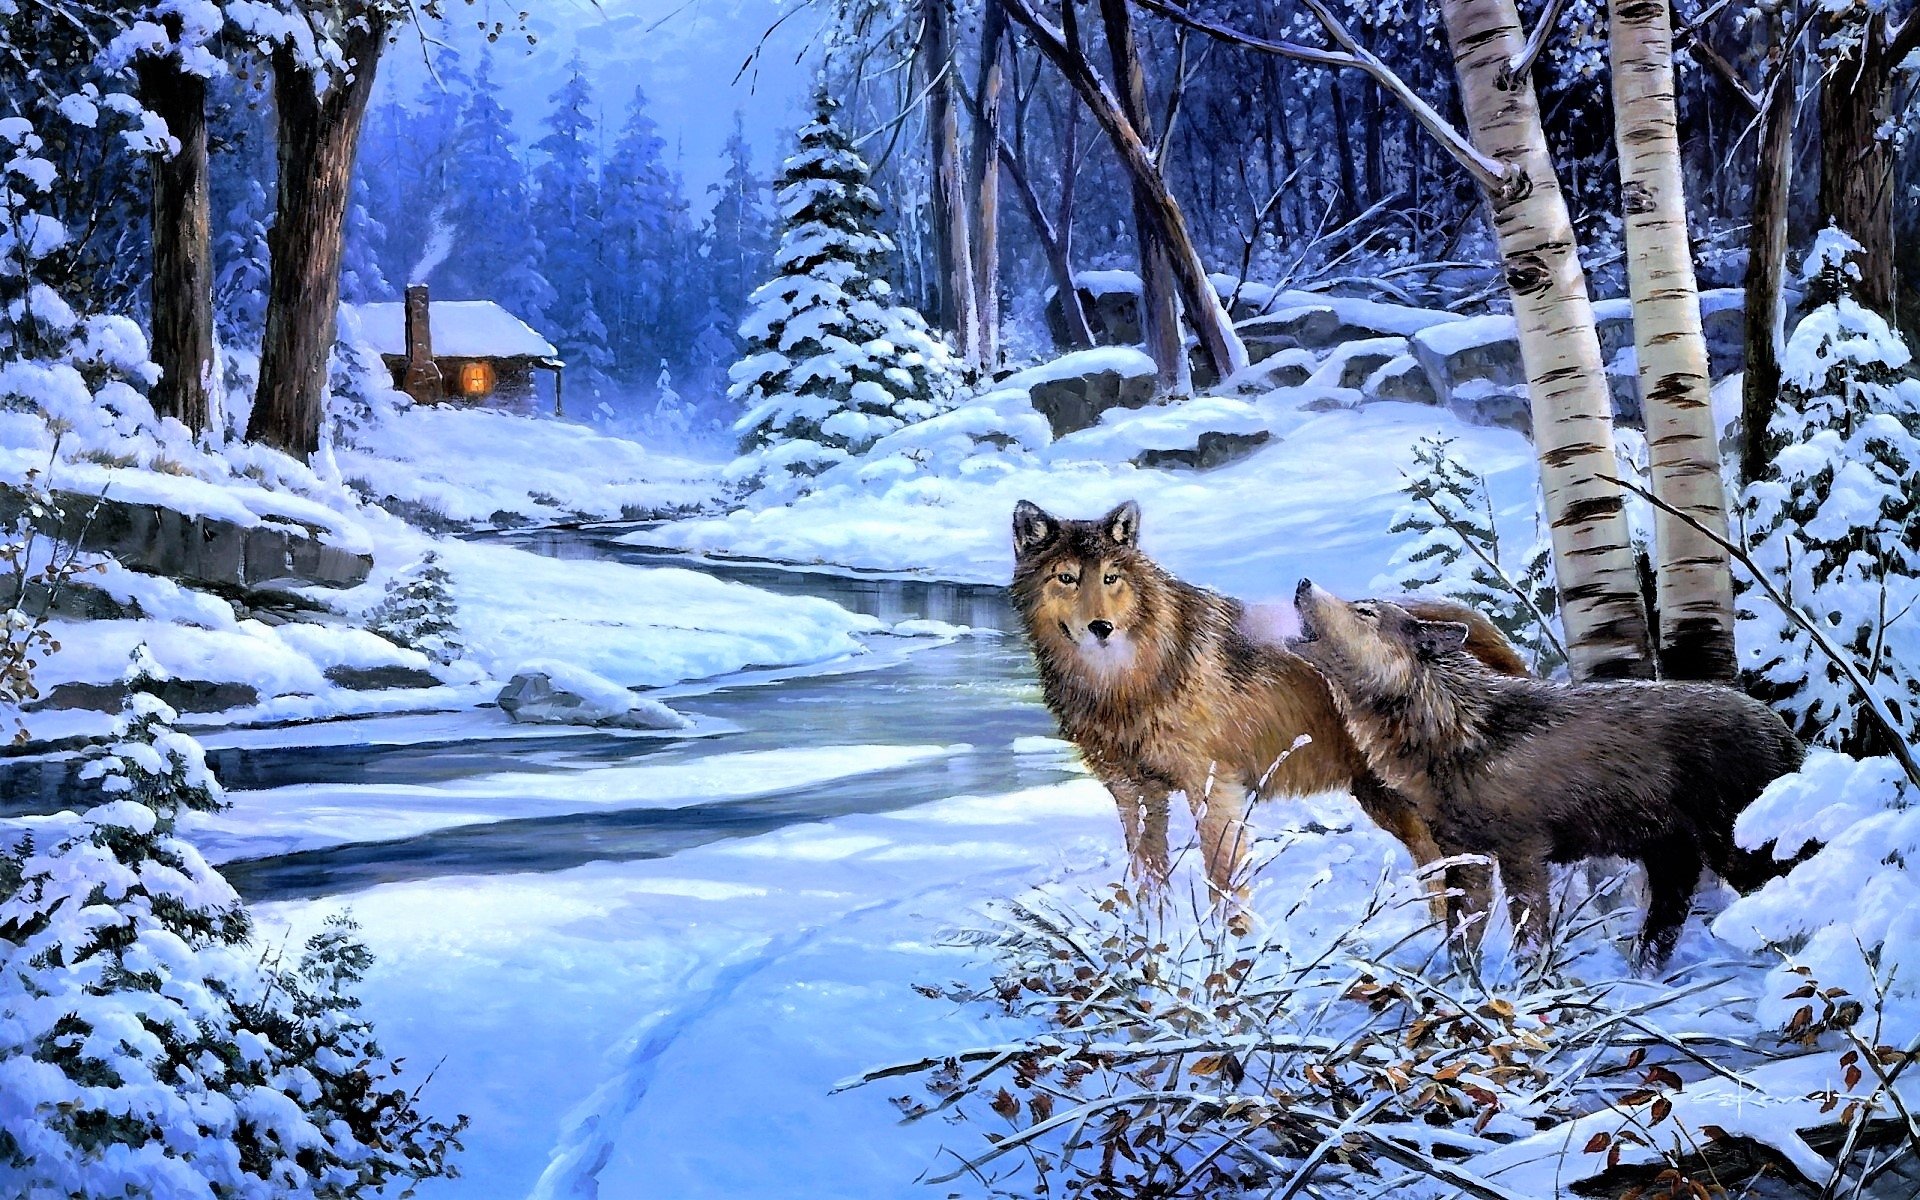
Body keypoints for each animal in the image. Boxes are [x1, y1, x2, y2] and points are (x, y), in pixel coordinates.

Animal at [1009, 499, 1528, 914]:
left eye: (1110, 578)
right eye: (1066, 578)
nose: (1100, 627)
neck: (1125, 681)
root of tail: (1478, 623)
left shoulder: (1214, 790)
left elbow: (1222, 883)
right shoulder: (1133, 792)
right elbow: (1149, 882)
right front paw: (1155, 946)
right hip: (1384, 802)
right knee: (1439, 877)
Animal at [1289, 580, 1805, 967]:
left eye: (1365, 611)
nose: (1301, 583)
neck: (1455, 731)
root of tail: (1783, 730)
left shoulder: (1525, 855)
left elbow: (1528, 936)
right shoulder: (1464, 857)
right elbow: (1460, 936)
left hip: (1733, 851)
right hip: (1670, 856)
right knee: (1664, 923)